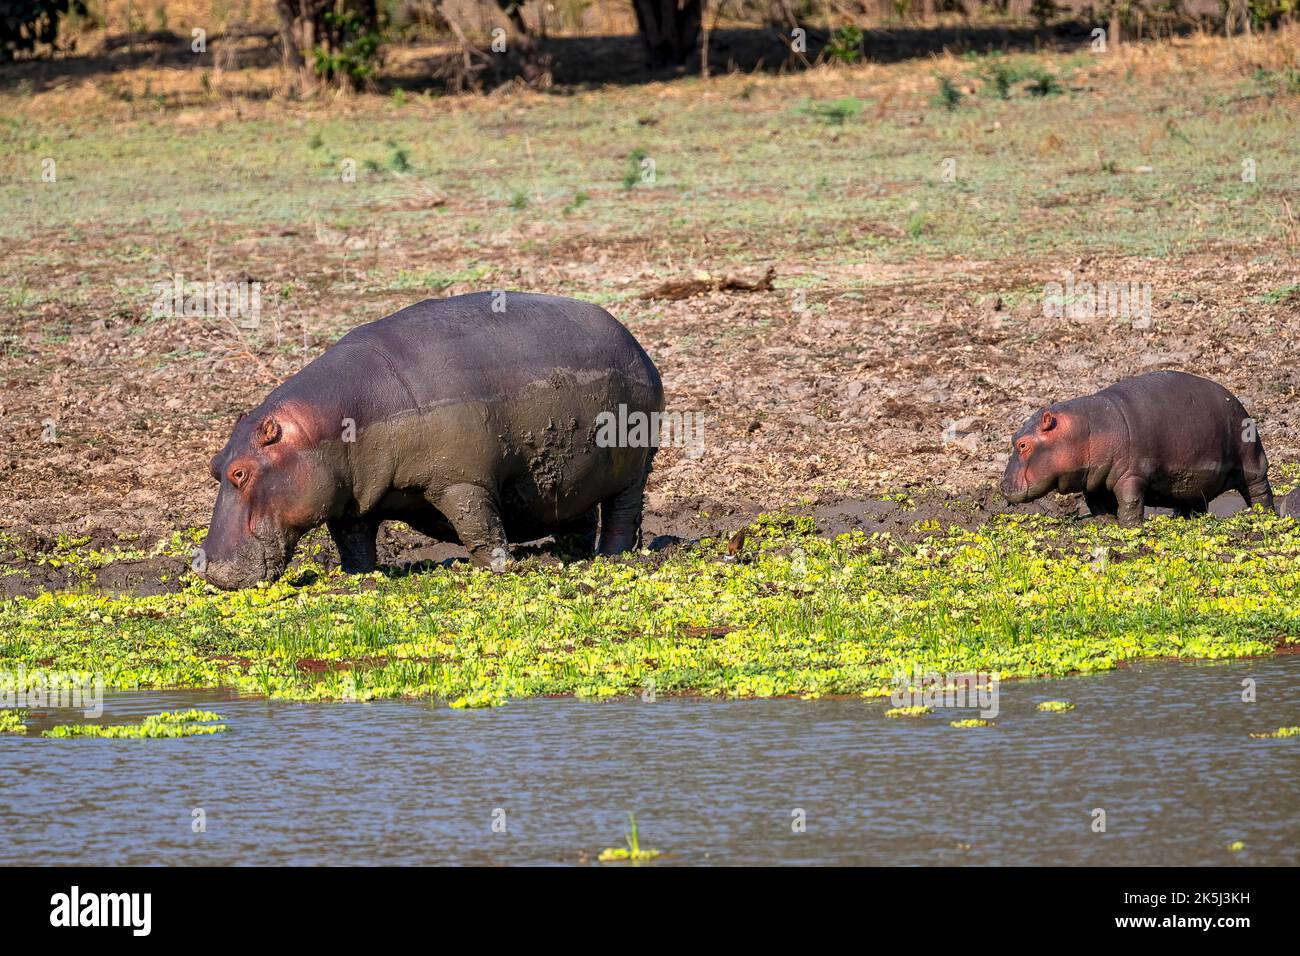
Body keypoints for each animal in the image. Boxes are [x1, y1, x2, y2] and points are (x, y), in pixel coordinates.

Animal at [201, 292, 664, 589]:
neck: (342, 419)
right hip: (572, 475)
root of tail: (634, 342)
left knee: (623, 513)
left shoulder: (462, 482)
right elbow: (353, 542)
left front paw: (500, 571)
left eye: (240, 473)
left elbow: (480, 526)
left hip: (636, 466)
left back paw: (610, 557)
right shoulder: (350, 498)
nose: (202, 566)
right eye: (214, 466)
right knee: (576, 514)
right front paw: (360, 580)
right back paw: (568, 554)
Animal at [998, 371, 1273, 526]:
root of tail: (1236, 399)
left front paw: (1129, 527)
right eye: (1014, 436)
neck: (1085, 429)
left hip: (1251, 458)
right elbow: (1097, 504)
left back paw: (1262, 514)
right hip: (1192, 481)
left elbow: (1130, 502)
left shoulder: (1132, 475)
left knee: (1258, 488)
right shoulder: (1093, 478)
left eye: (1023, 444)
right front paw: (1107, 523)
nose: (1002, 486)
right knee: (1193, 502)